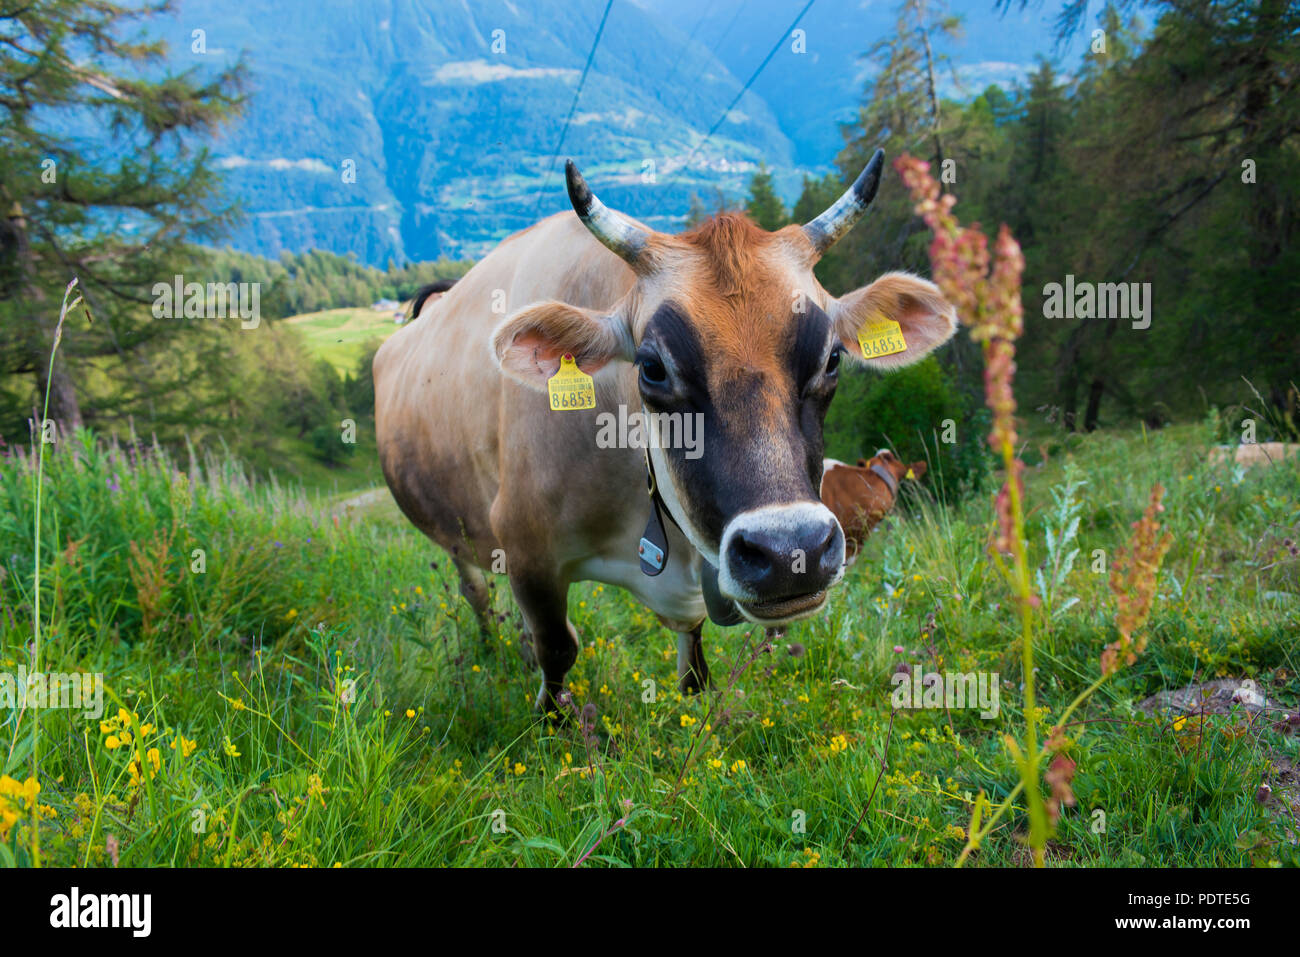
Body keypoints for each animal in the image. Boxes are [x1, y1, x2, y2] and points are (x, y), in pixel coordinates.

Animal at [373, 148, 958, 715]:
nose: (792, 553)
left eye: (833, 357)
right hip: (452, 530)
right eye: (652, 368)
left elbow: (693, 656)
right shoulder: (526, 551)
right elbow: (557, 650)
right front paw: (552, 718)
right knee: (474, 589)